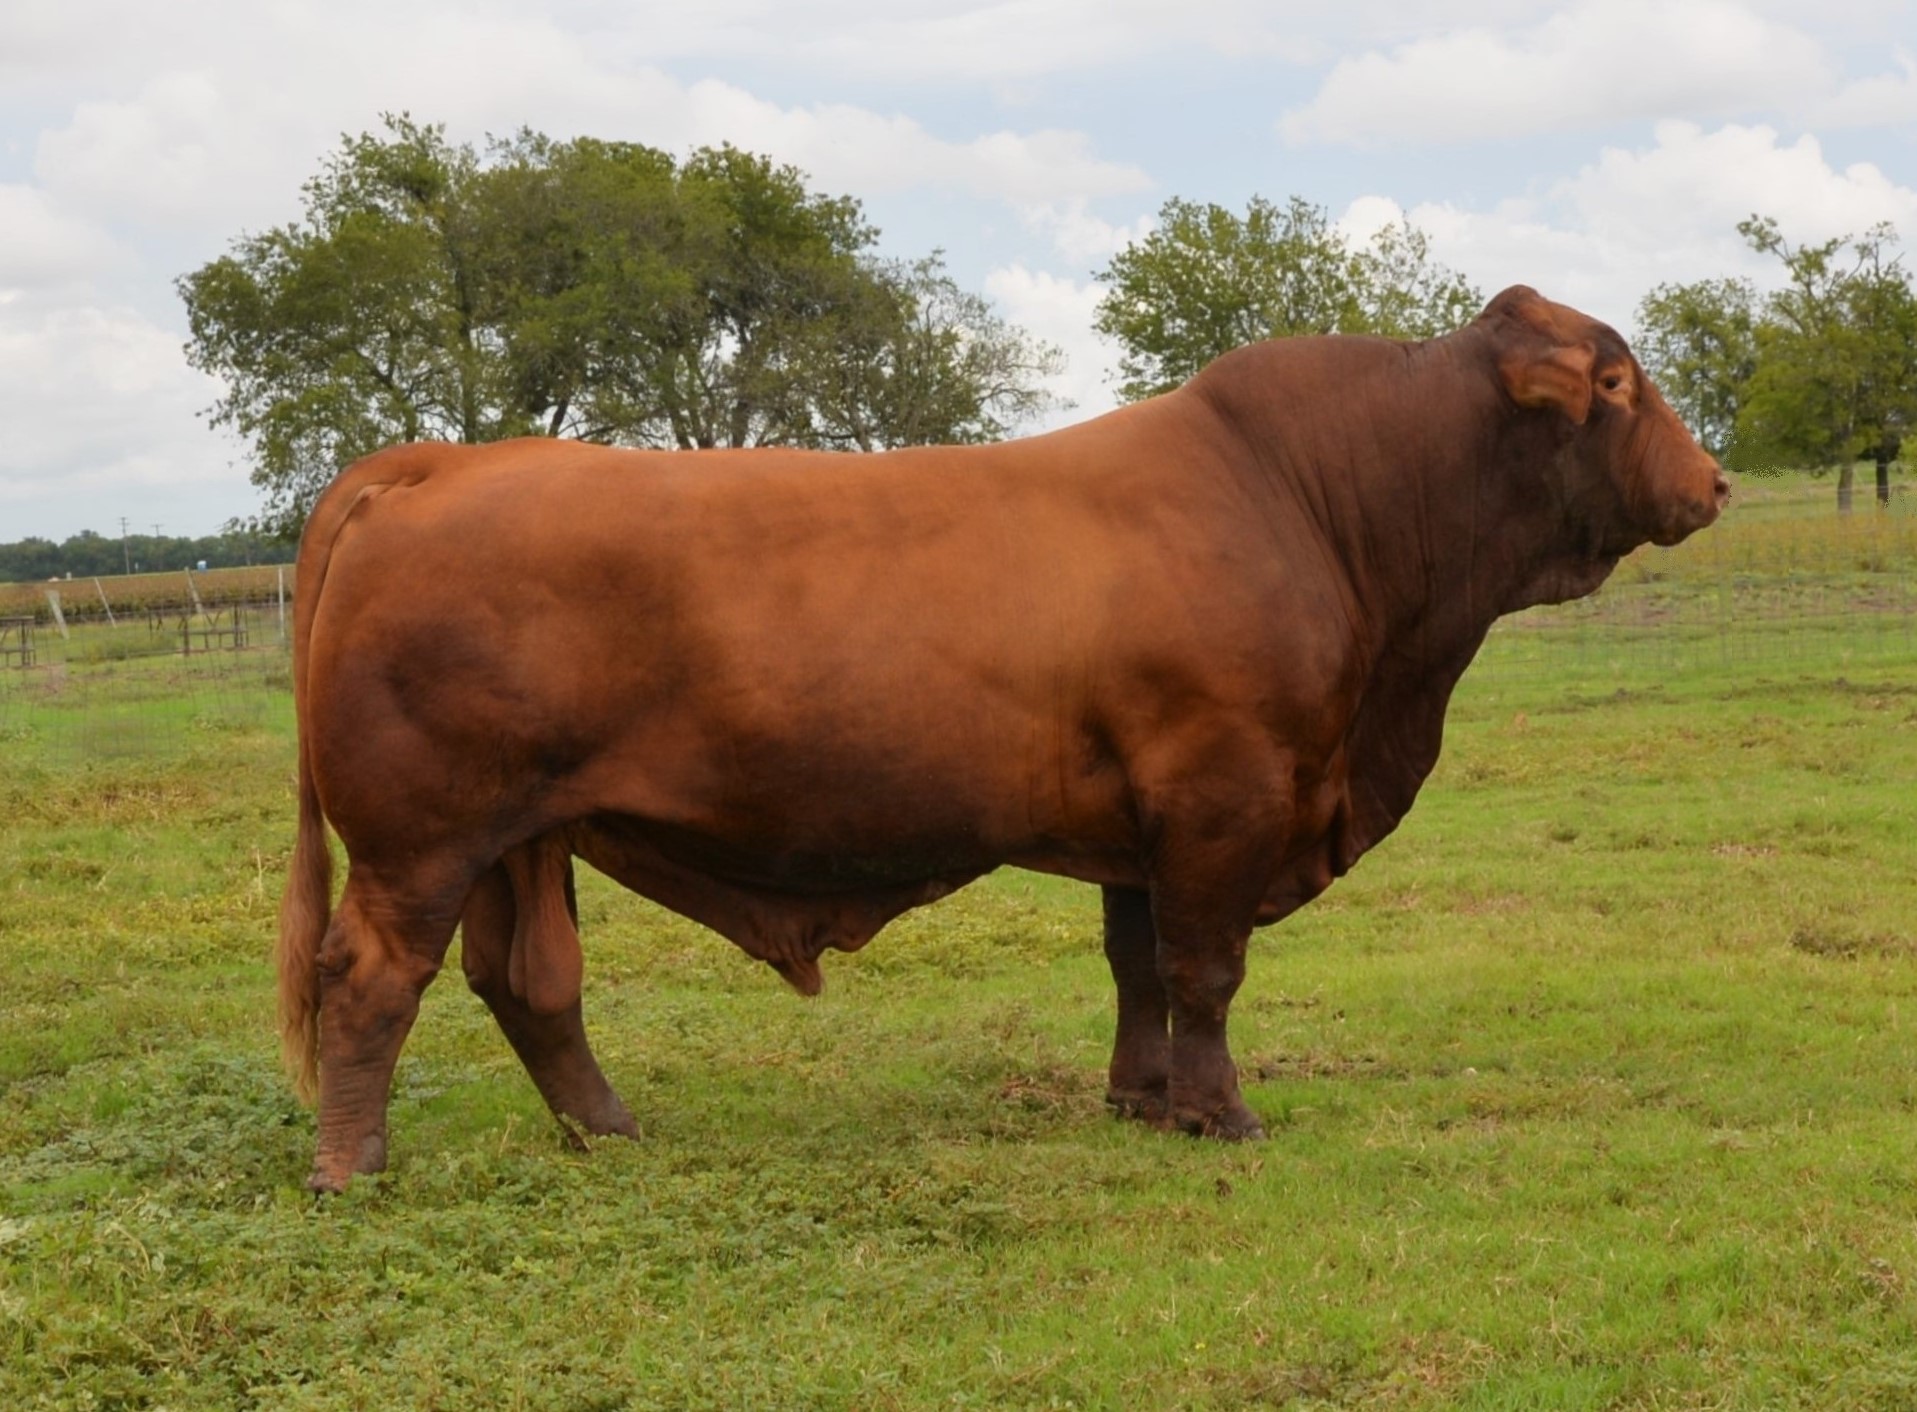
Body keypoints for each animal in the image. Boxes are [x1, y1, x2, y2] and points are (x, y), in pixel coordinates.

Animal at [277, 286, 1727, 1192]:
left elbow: (1139, 966)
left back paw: (613, 1133)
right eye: (1613, 378)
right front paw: (1223, 1114)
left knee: (529, 985)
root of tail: (442, 459)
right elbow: (1206, 971)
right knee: (372, 981)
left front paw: (1145, 1101)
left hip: (522, 835)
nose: (1713, 481)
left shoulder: (1151, 823)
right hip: (420, 840)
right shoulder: (1225, 792)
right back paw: (354, 1169)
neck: (1313, 505)